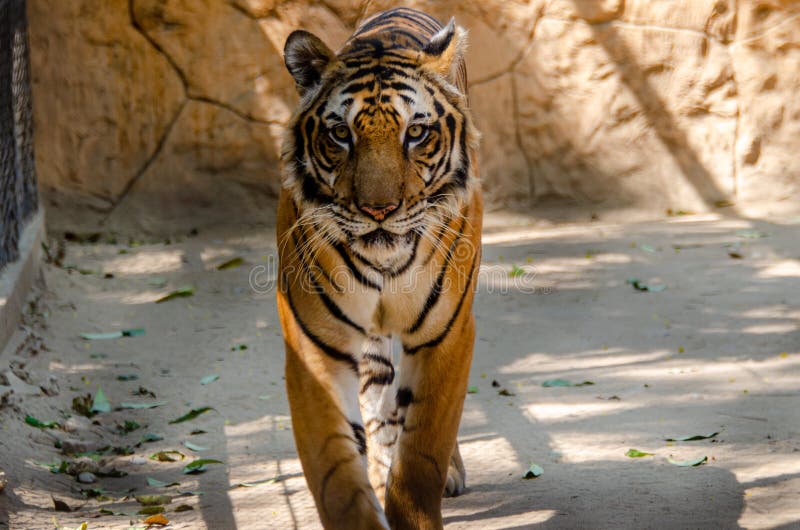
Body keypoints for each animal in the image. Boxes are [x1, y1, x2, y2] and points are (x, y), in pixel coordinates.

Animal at [276, 7, 482, 529]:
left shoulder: (446, 334)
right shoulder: (315, 347)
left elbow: (423, 451)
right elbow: (334, 469)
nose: (379, 210)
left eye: (416, 133)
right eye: (340, 134)